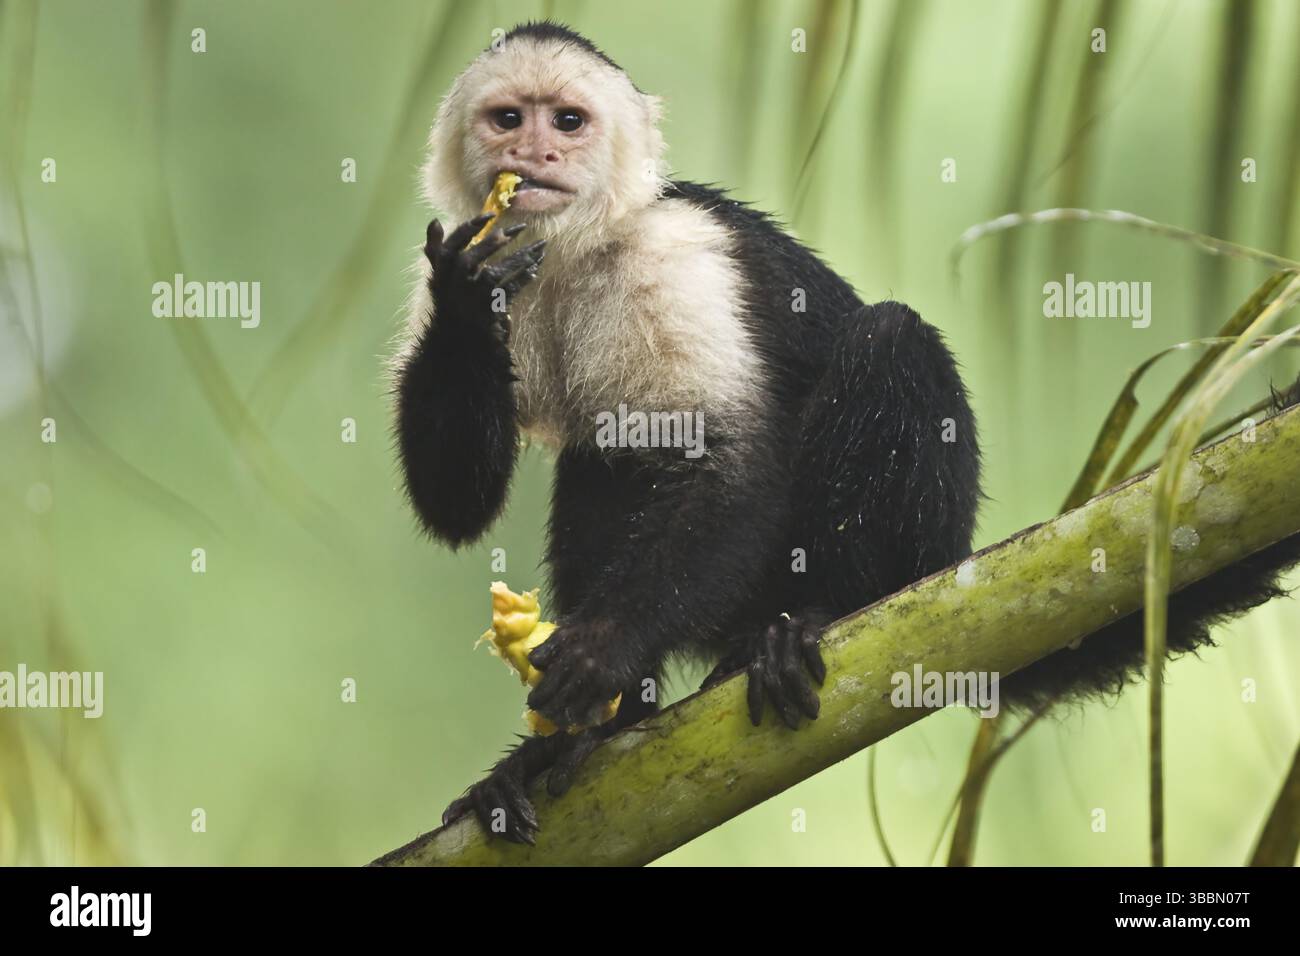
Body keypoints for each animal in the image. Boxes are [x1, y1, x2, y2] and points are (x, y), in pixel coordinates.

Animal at [392, 21, 1300, 844]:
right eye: (509, 118)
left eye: (569, 121)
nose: (535, 155)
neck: (574, 250)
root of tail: (946, 559)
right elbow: (457, 502)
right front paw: (470, 303)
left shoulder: (675, 253)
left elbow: (730, 463)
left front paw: (605, 656)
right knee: (603, 454)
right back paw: (595, 734)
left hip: (916, 553)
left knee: (886, 341)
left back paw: (812, 616)